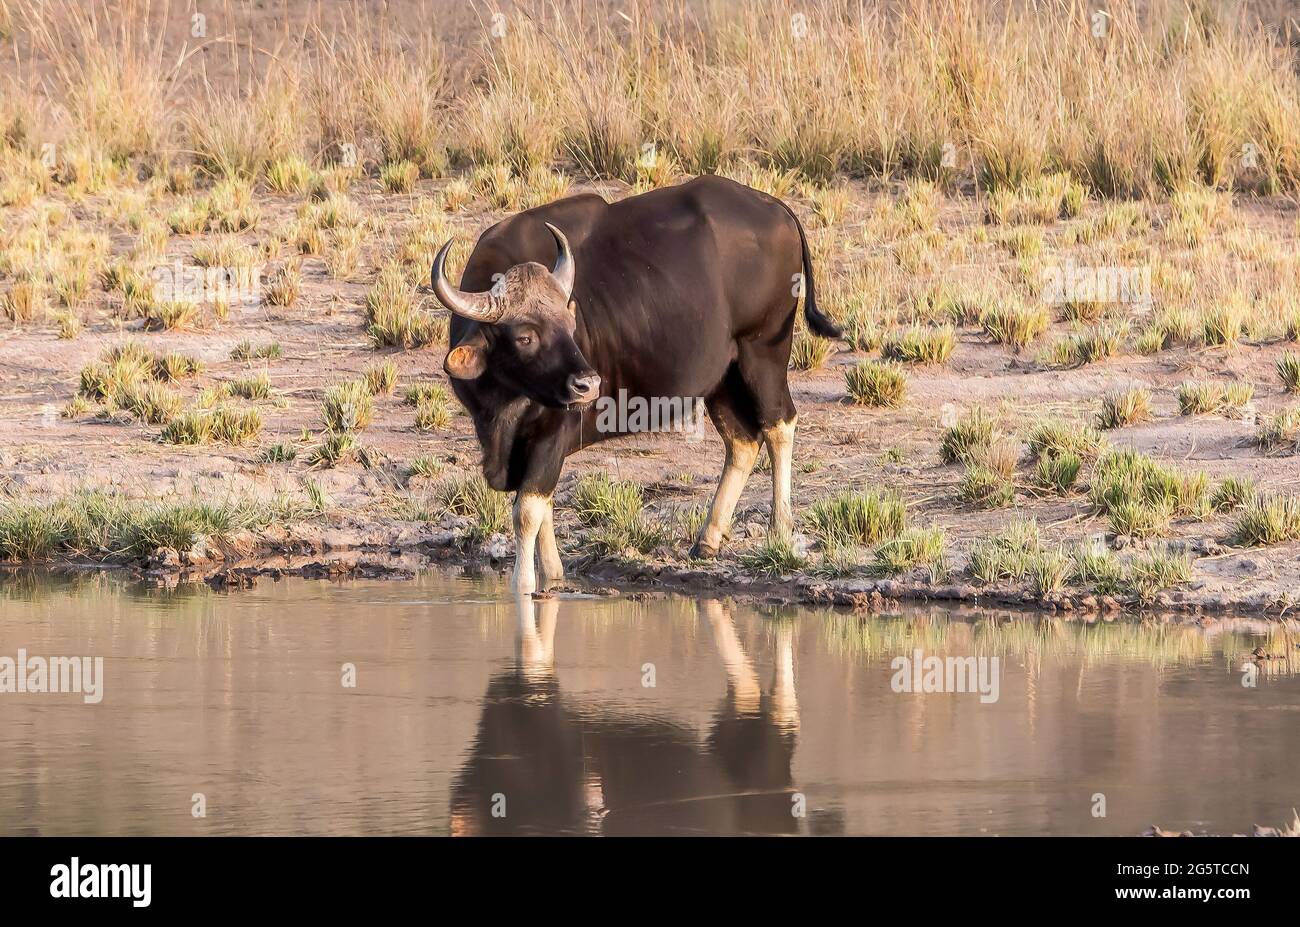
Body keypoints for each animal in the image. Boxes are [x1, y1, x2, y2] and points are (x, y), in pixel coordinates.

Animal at [432, 175, 840, 594]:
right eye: (525, 336)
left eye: (569, 324)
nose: (588, 384)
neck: (505, 405)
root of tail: (776, 207)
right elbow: (541, 506)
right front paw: (554, 573)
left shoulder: (551, 435)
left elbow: (528, 510)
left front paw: (526, 582)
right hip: (723, 377)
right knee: (742, 440)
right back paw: (708, 539)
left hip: (763, 352)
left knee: (779, 424)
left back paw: (780, 529)